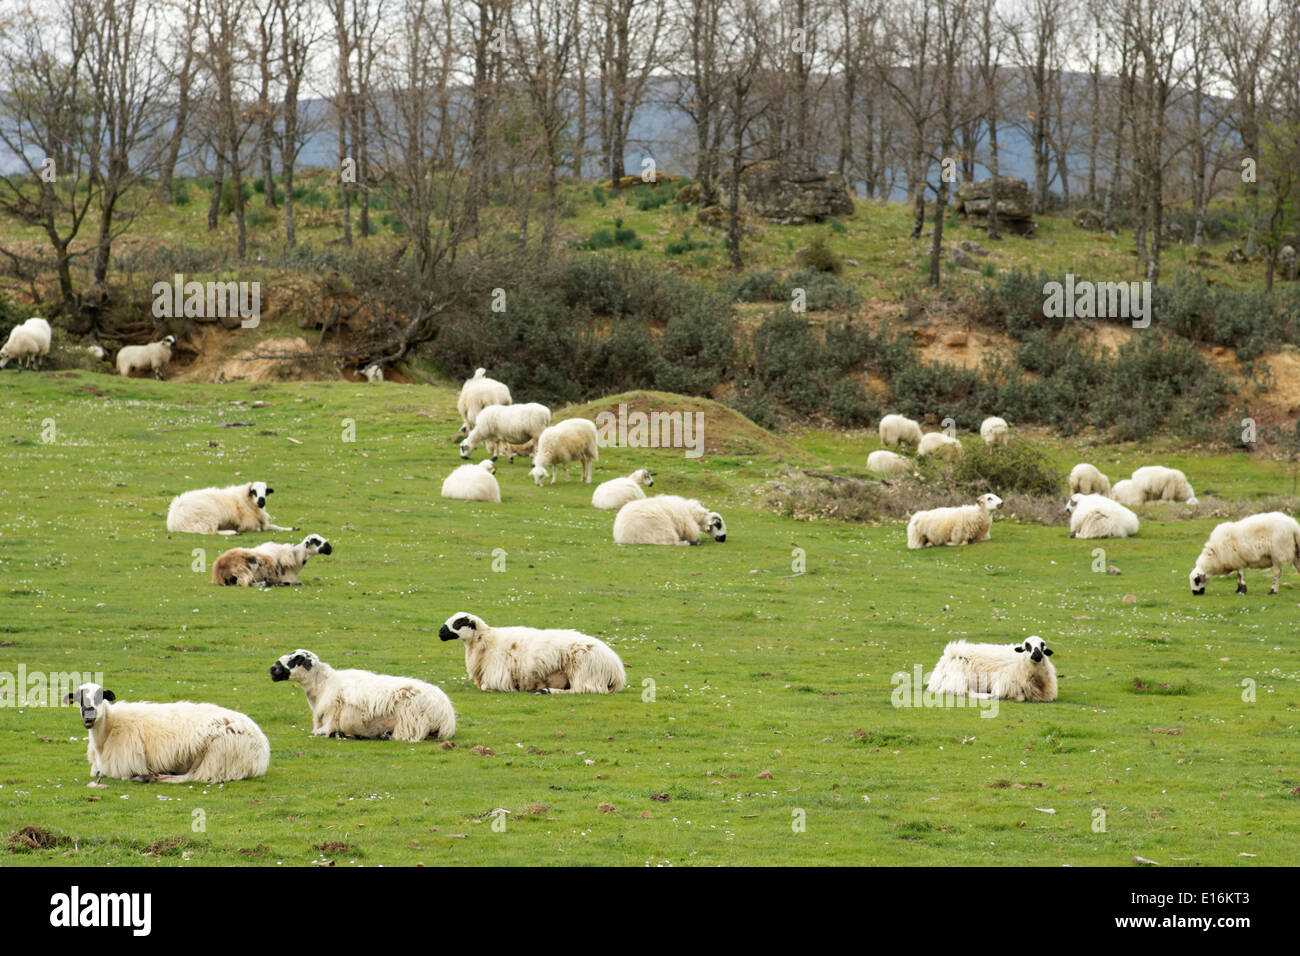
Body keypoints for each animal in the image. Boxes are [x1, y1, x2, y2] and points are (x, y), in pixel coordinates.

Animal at [65, 681, 270, 786]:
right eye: (79, 698)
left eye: (101, 695)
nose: (89, 716)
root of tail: (262, 749)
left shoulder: (124, 766)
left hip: (215, 754)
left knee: (193, 777)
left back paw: (153, 777)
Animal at [166, 480, 296, 535]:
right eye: (253, 491)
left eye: (265, 491)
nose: (261, 501)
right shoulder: (249, 524)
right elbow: (262, 528)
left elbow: (274, 526)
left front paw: (292, 528)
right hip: (208, 518)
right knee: (212, 532)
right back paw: (233, 532)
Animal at [270, 649, 455, 741]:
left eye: (298, 659)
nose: (273, 669)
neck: (323, 686)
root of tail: (447, 713)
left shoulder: (330, 721)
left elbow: (321, 733)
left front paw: (339, 734)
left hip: (410, 720)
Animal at [438, 612, 626, 694]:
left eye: (459, 622)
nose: (440, 632)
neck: (487, 642)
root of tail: (617, 670)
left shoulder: (498, 678)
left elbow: (487, 686)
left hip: (584, 672)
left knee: (582, 690)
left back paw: (547, 691)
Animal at [926, 636, 1058, 702]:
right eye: (1027, 646)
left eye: (1042, 645)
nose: (1037, 655)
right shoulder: (1004, 684)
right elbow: (1020, 697)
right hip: (960, 679)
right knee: (966, 692)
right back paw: (987, 696)